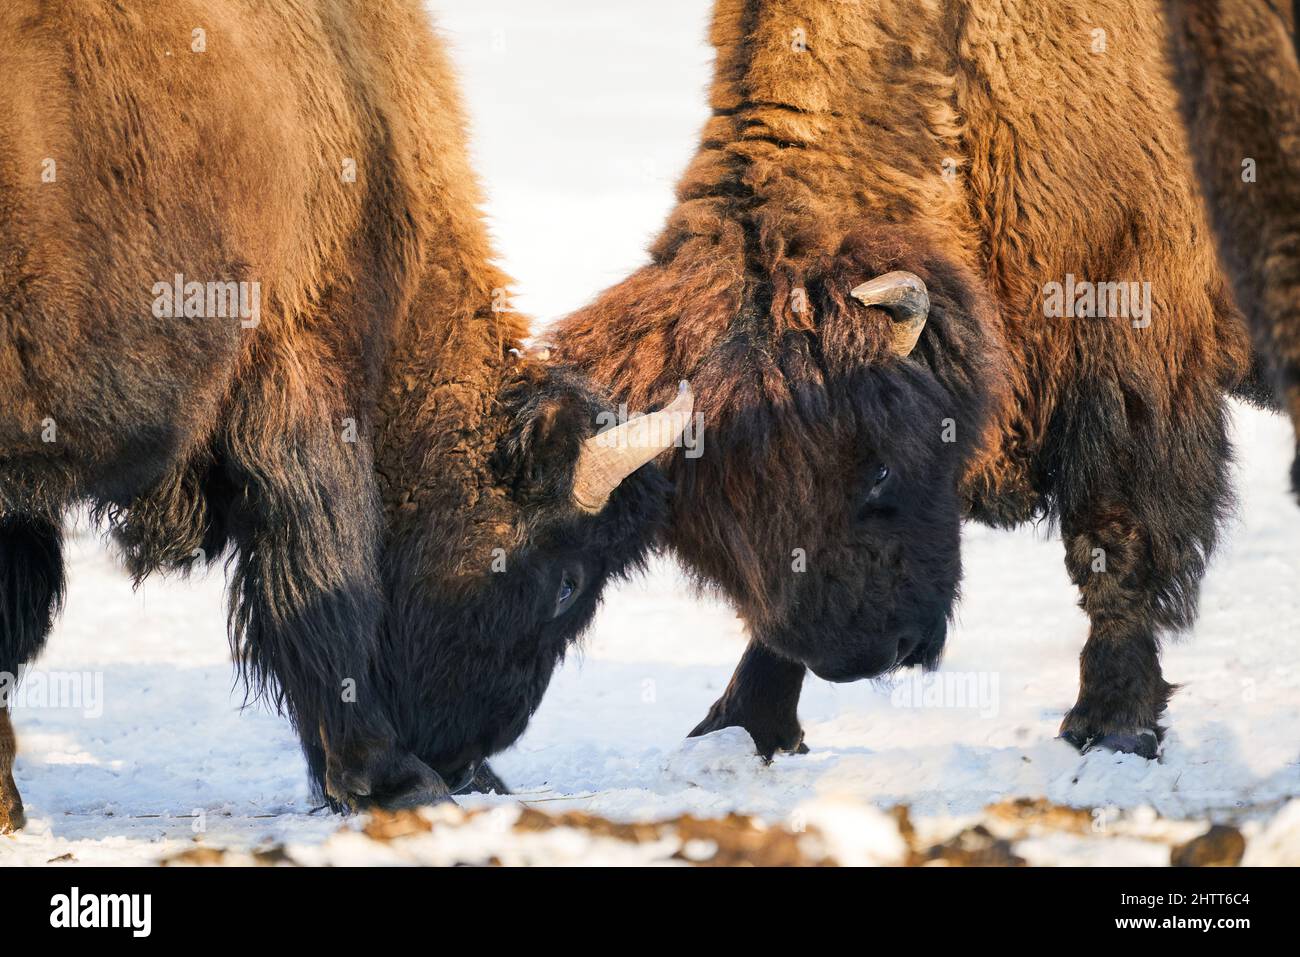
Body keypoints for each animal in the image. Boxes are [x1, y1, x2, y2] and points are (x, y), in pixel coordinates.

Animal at [549, 0, 1257, 760]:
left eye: (882, 471)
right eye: (716, 529)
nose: (865, 656)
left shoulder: (1129, 355)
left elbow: (1112, 535)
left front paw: (1111, 722)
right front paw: (743, 722)